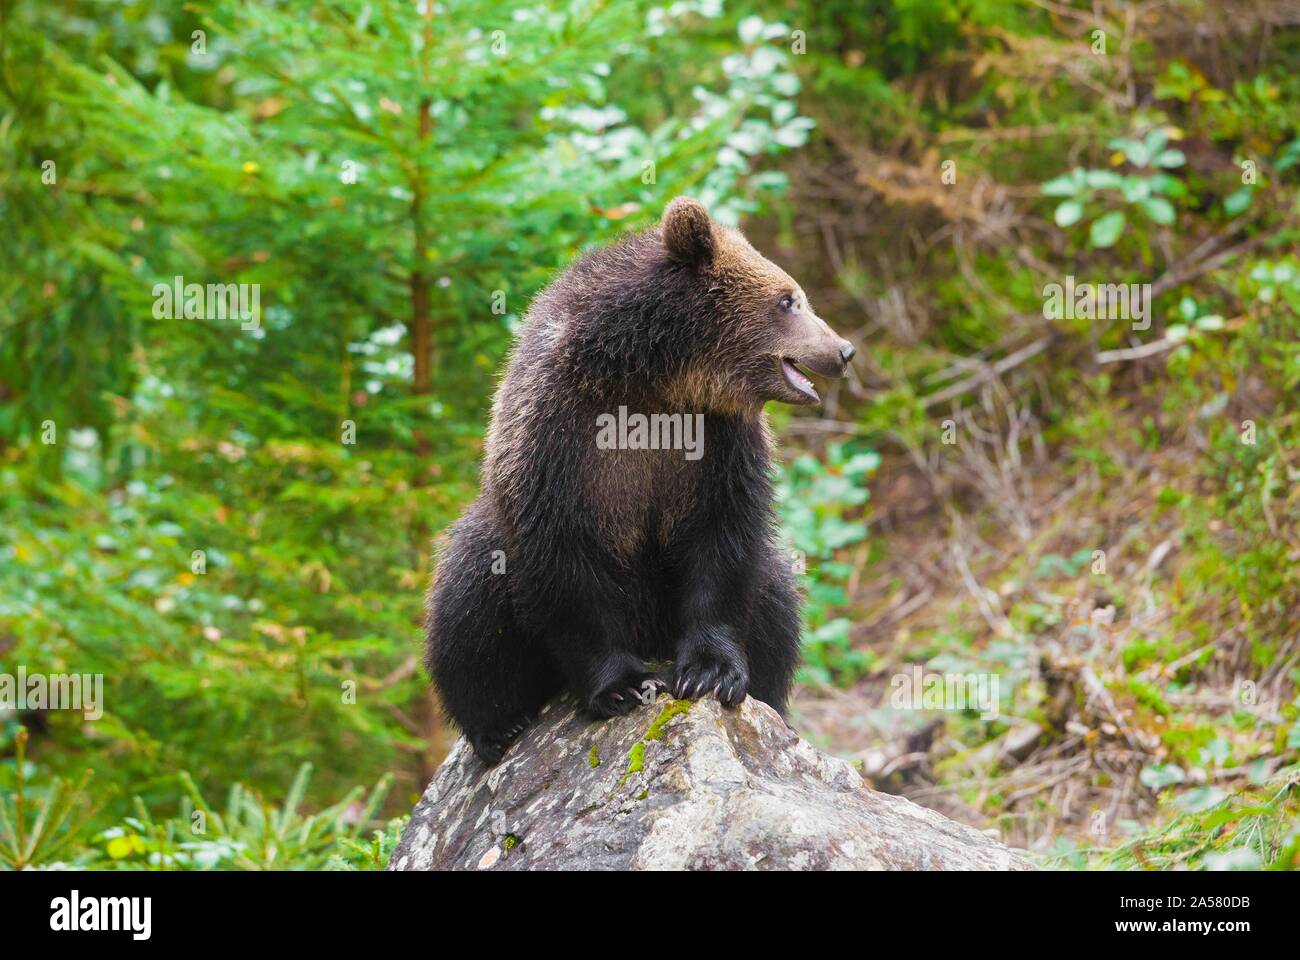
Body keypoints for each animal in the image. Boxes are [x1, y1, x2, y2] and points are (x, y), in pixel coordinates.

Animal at [425, 196, 856, 765]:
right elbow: (565, 561)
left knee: (777, 594)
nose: (844, 350)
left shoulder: (718, 446)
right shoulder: (556, 438)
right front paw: (620, 686)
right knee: (468, 603)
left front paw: (712, 672)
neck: (654, 383)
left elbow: (723, 543)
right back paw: (498, 724)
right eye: (788, 300)